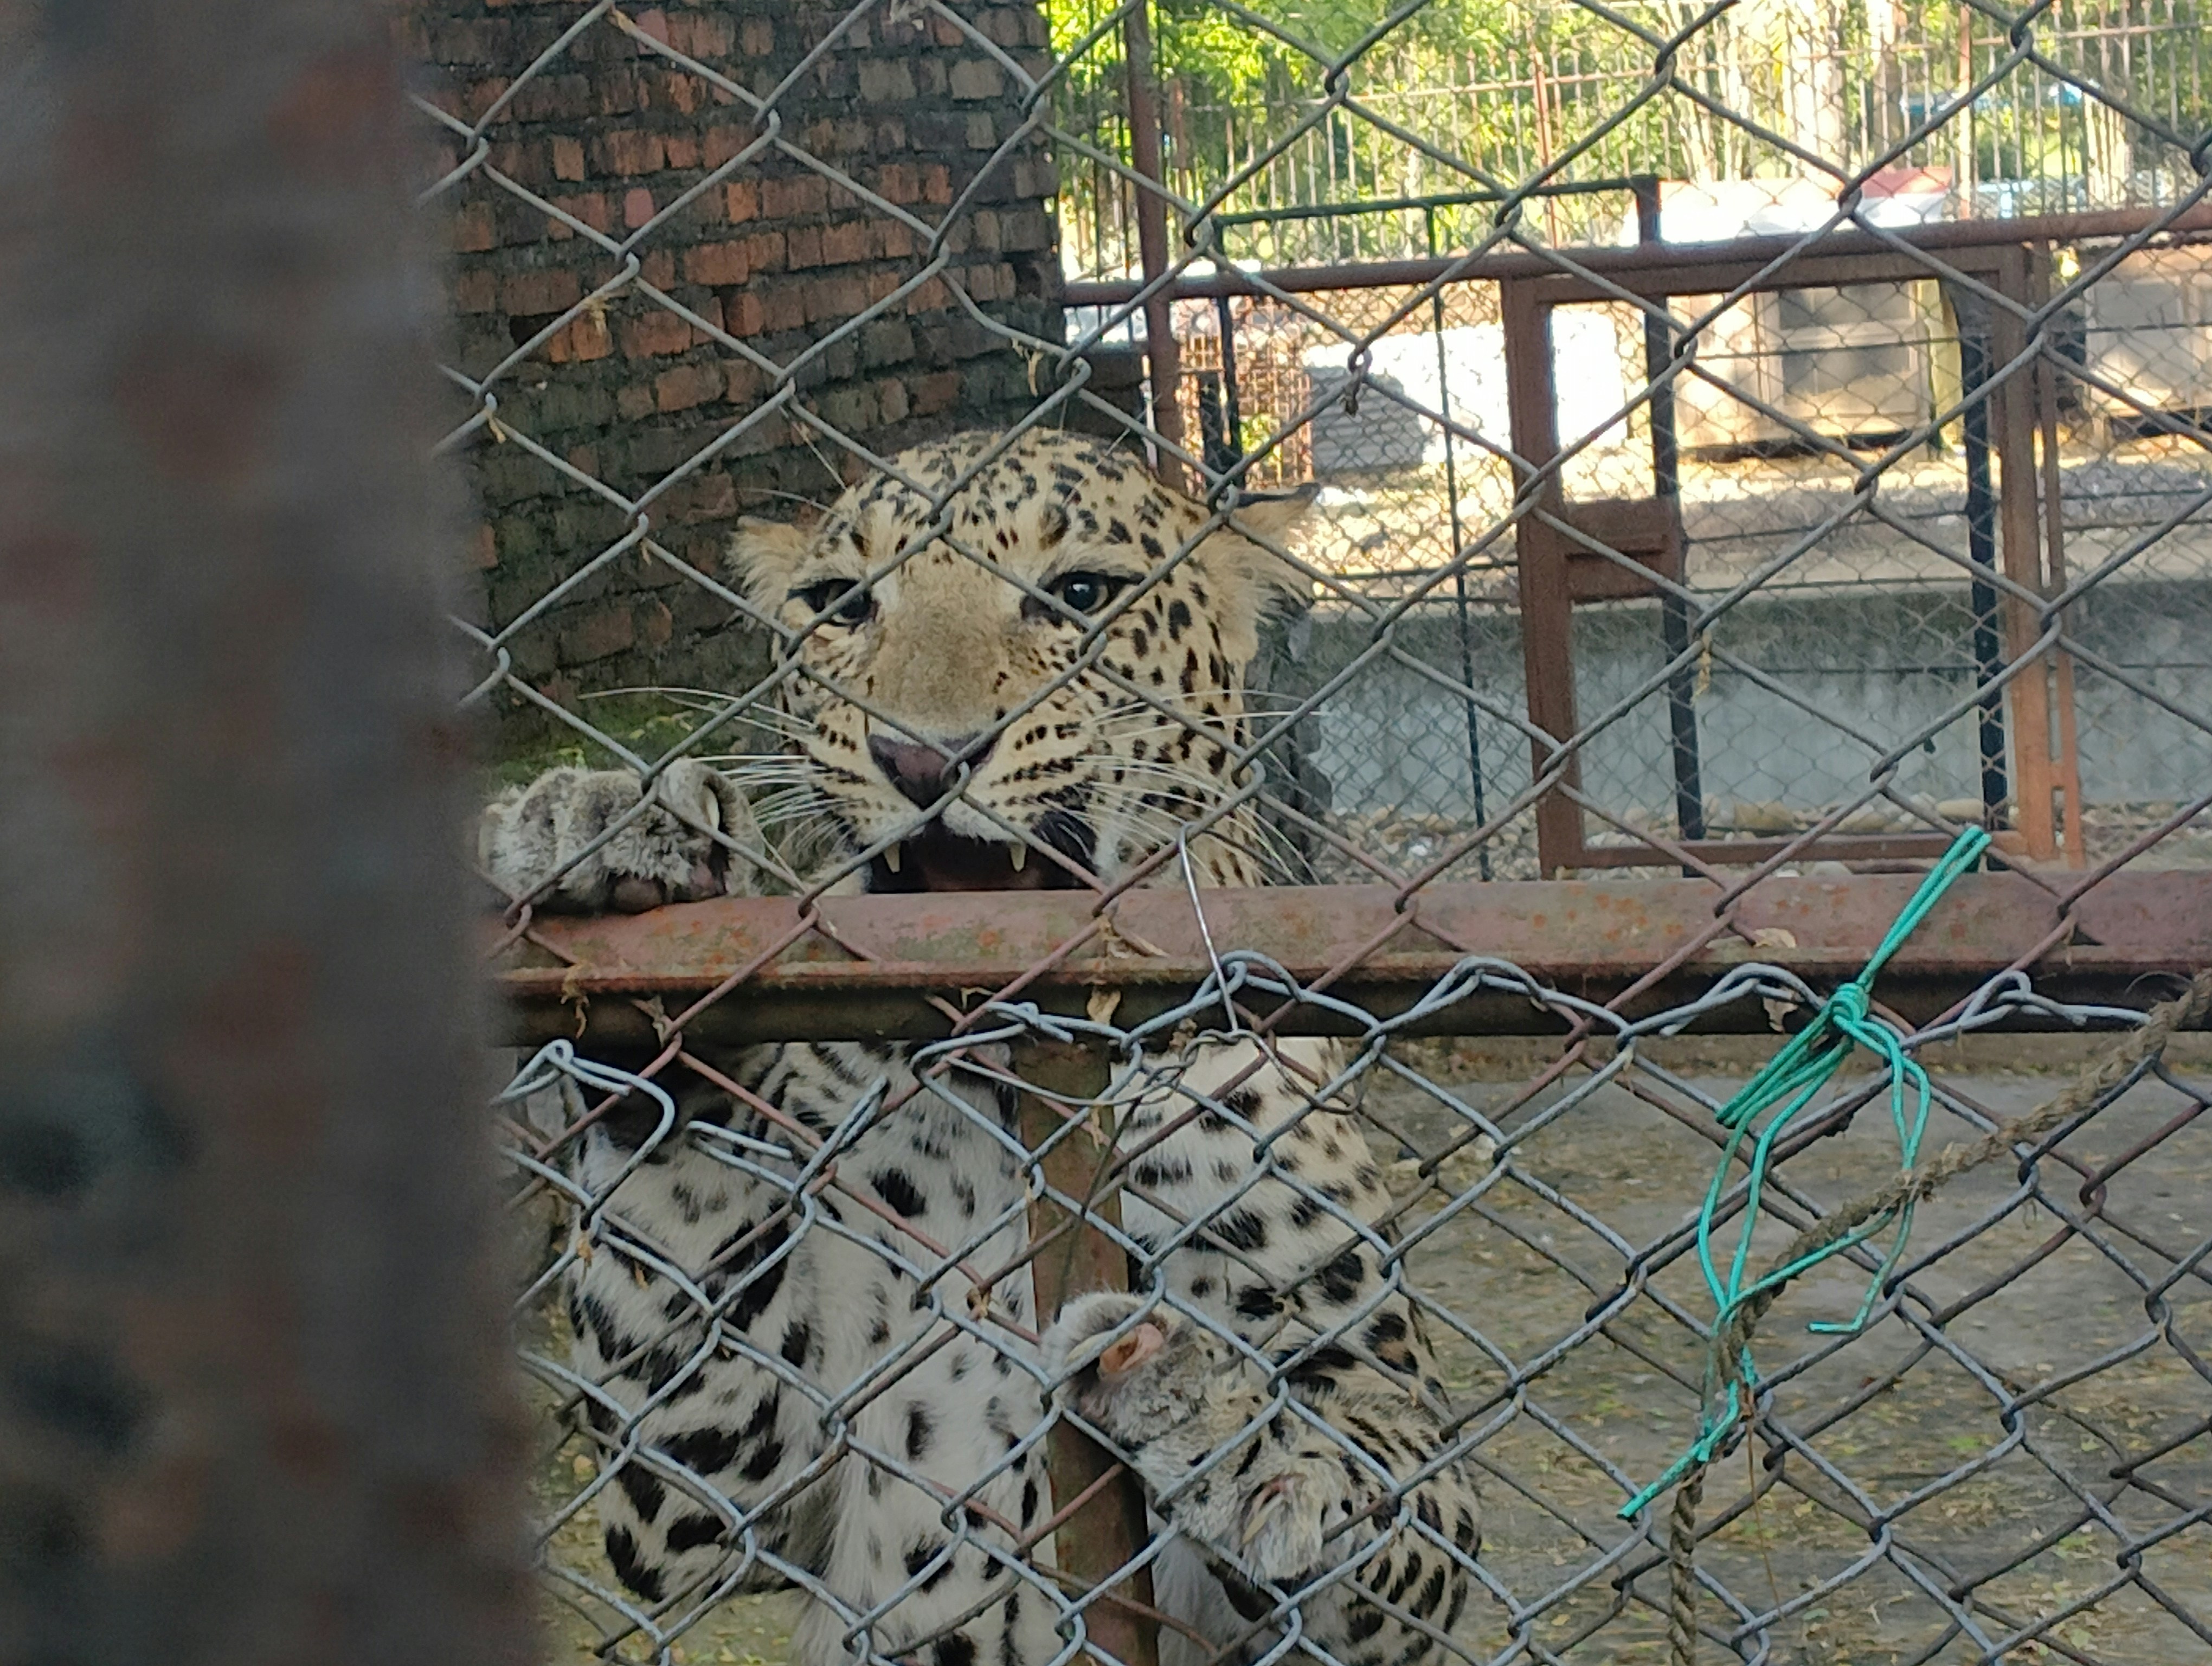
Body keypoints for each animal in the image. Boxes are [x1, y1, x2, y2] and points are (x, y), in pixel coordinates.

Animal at [483, 430, 1482, 1666]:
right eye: (841, 603)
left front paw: (1215, 1410)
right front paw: (620, 834)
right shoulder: (726, 1487)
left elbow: (1380, 1478)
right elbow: (683, 1274)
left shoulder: (1379, 1392)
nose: (922, 759)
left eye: (1081, 595)